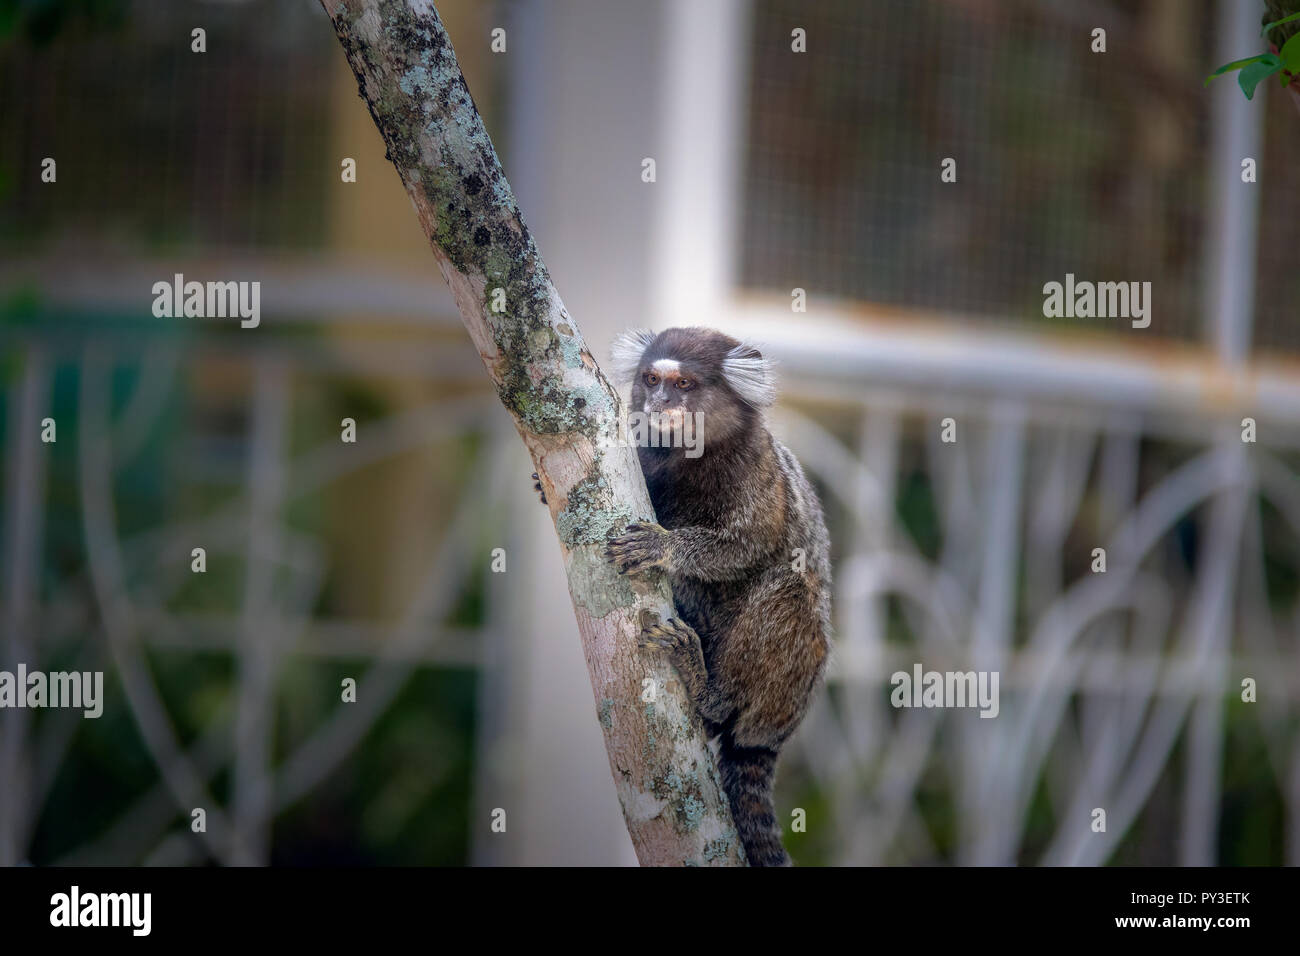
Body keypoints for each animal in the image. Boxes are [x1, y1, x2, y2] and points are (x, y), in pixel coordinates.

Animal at [591, 326, 832, 866]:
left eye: (683, 384)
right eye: (651, 379)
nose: (659, 402)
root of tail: (772, 735)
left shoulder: (756, 474)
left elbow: (750, 545)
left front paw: (664, 547)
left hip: (786, 684)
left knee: (792, 590)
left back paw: (708, 693)